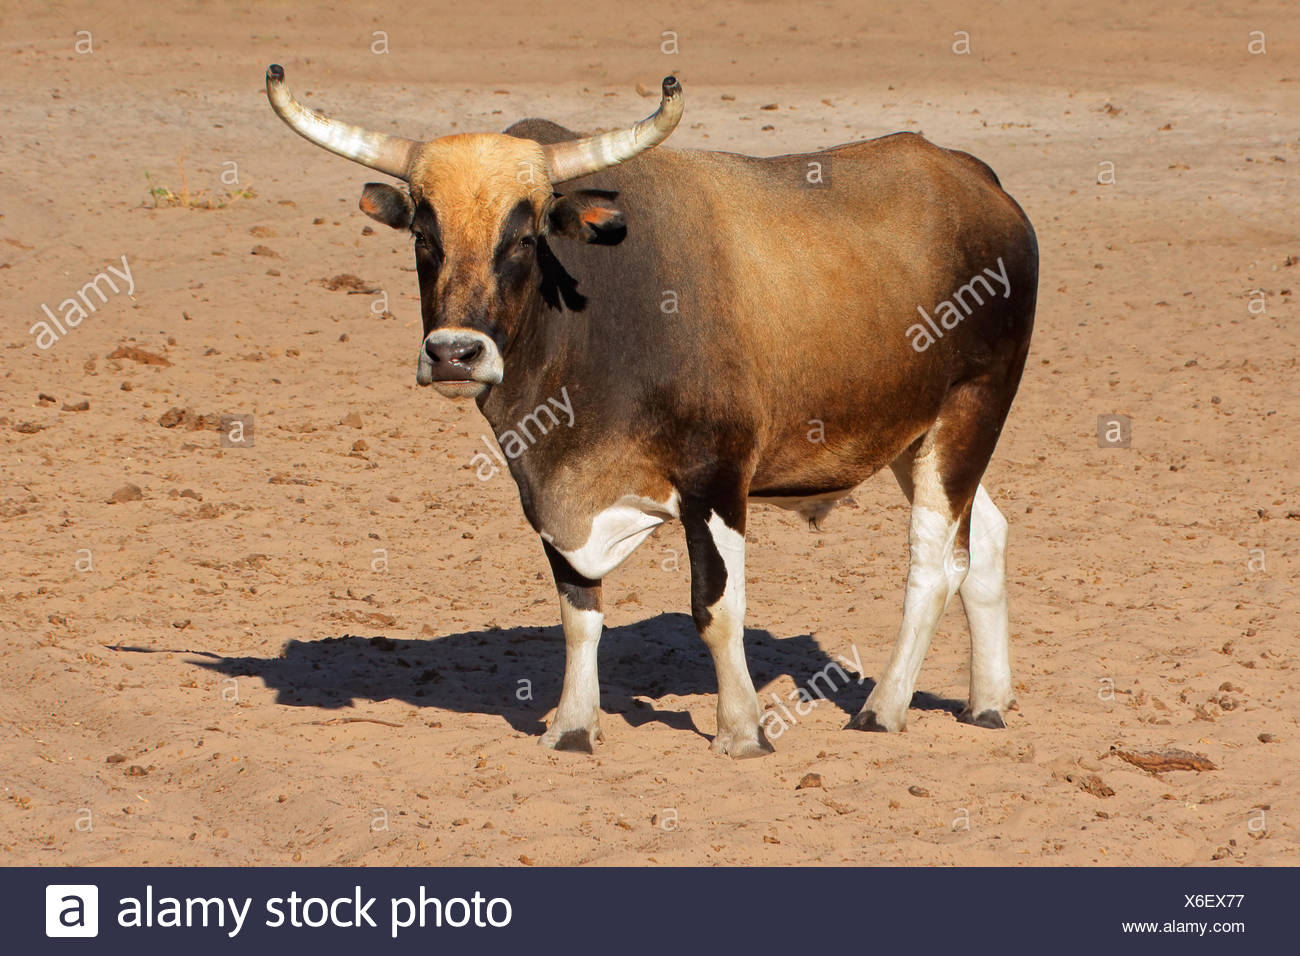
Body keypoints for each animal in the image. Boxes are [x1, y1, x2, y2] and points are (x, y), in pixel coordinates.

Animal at [266, 65, 1038, 758]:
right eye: (424, 235)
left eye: (524, 236)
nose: (456, 352)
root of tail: (974, 177)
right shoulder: (550, 492)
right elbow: (579, 613)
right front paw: (573, 726)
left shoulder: (716, 480)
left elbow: (717, 608)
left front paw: (742, 730)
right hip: (918, 437)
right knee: (987, 539)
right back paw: (988, 701)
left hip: (970, 412)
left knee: (934, 564)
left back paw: (883, 708)